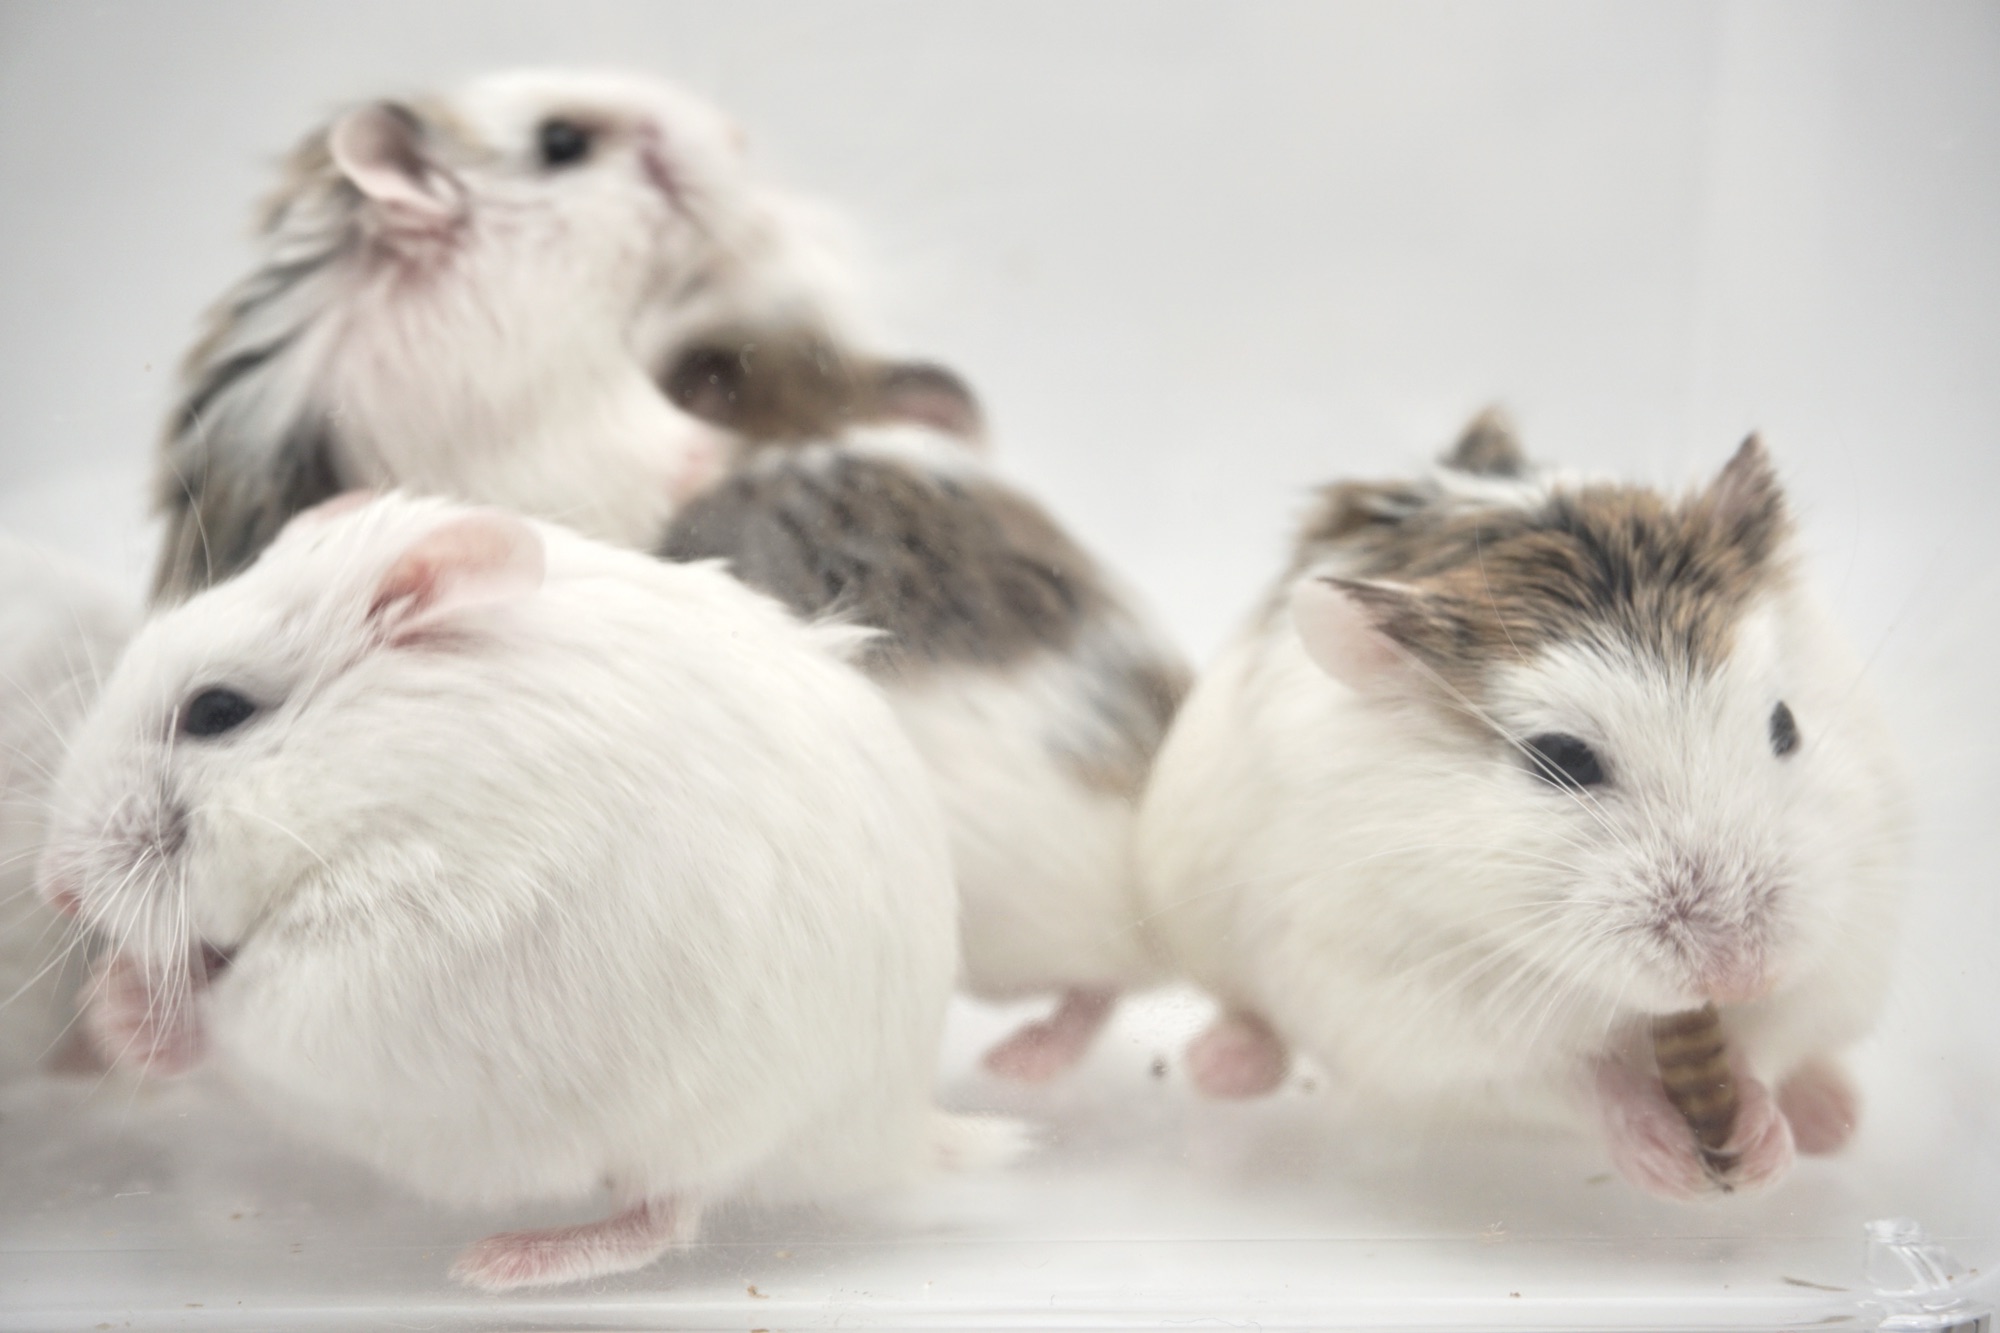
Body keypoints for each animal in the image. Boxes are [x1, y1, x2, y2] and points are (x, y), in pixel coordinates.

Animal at [41, 492, 997, 1291]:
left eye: (216, 711)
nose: (58, 892)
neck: (382, 782)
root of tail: (901, 1126)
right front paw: (110, 998)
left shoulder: (384, 958)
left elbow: (241, 1017)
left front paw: (126, 1008)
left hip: (714, 1126)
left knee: (664, 1218)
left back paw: (498, 1263)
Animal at [1135, 413, 1909, 1200]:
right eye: (1562, 759)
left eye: (1786, 725)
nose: (1743, 975)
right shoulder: (1425, 1025)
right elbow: (1575, 1079)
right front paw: (1669, 1164)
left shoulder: (1836, 955)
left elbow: (1767, 1045)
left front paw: (1762, 1147)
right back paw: (1220, 1067)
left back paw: (1832, 1116)